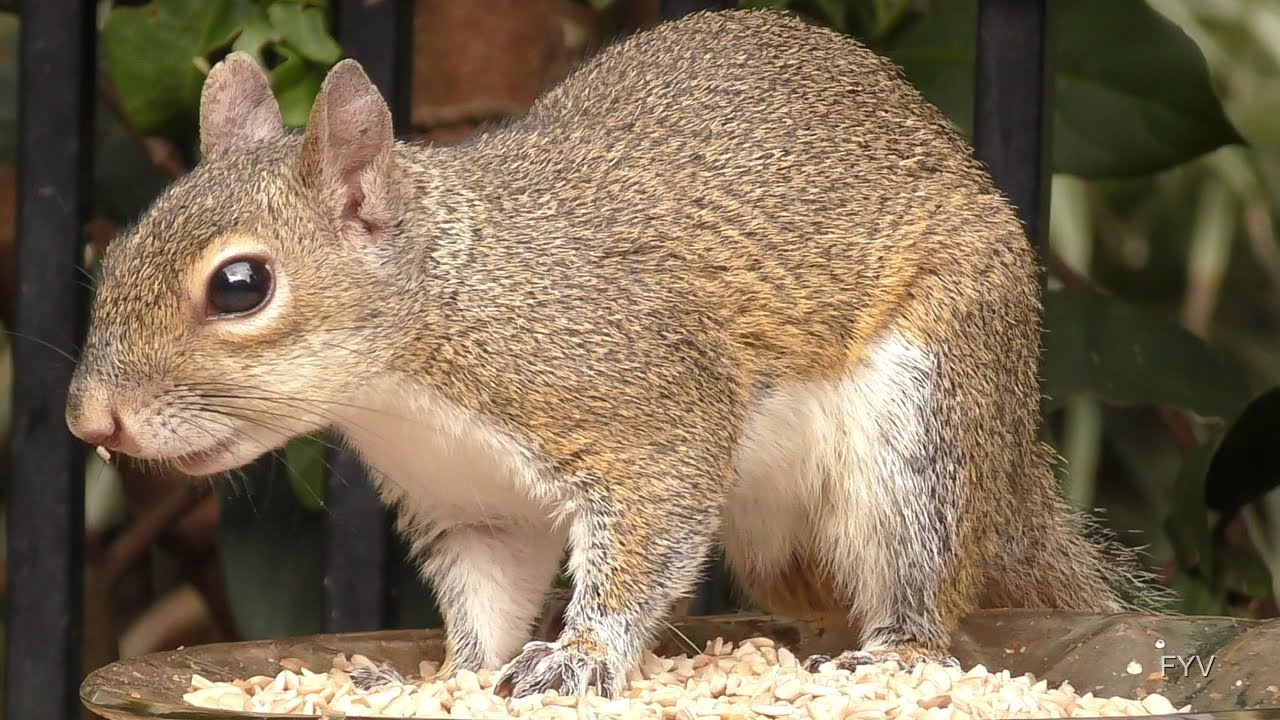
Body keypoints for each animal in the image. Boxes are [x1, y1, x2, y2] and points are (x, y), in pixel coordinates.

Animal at [65, 9, 1163, 700]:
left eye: (239, 287)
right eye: (116, 249)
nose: (87, 418)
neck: (414, 364)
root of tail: (1012, 466)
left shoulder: (647, 405)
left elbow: (643, 543)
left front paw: (578, 657)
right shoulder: (471, 505)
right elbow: (487, 599)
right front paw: (453, 677)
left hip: (926, 421)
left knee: (929, 595)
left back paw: (891, 655)